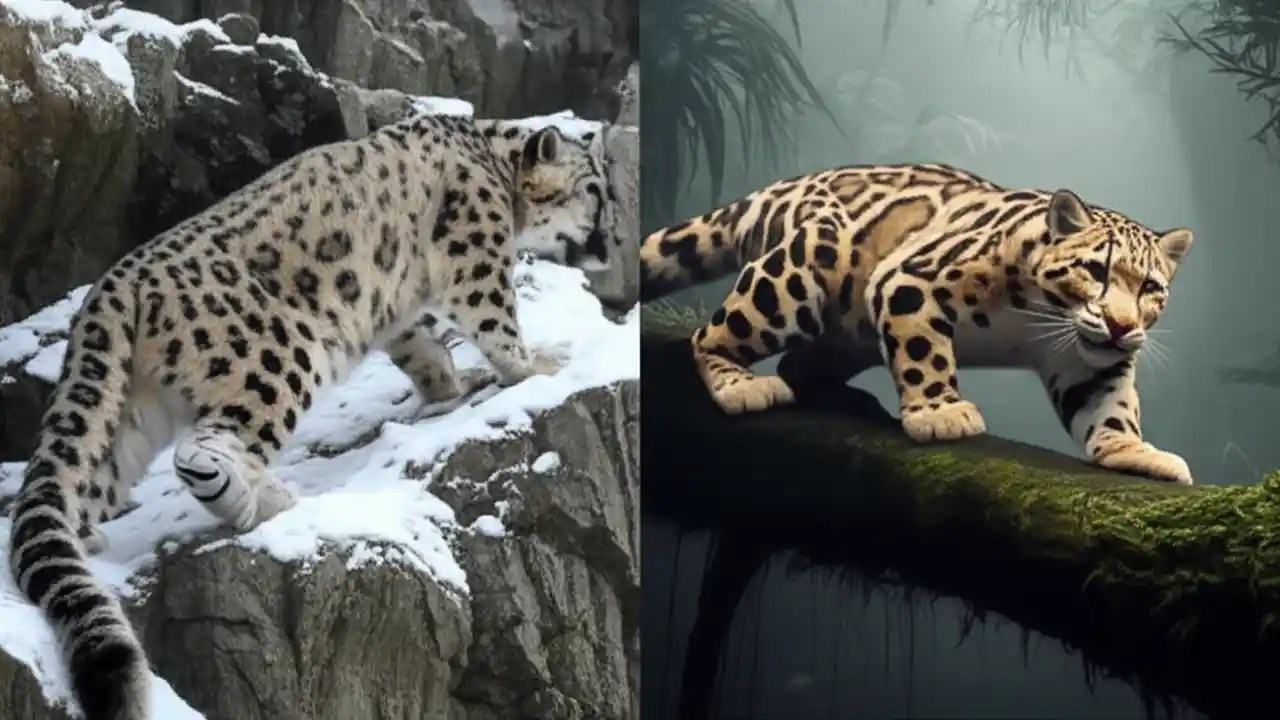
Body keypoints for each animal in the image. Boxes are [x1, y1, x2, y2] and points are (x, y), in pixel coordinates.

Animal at [7, 111, 617, 720]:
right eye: (594, 191)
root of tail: (110, 292)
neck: (492, 161)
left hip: (128, 416)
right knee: (207, 447)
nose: (610, 247)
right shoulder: (474, 247)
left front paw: (451, 382)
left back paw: (87, 537)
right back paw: (266, 501)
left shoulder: (402, 314)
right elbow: (495, 317)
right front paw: (536, 363)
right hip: (277, 358)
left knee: (84, 480)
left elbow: (421, 344)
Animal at [640, 162, 1194, 486]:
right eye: (1096, 271)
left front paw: (1132, 450)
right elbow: (924, 353)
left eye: (1150, 289)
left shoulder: (1092, 363)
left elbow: (1111, 409)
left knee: (801, 361)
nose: (1121, 326)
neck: (1042, 318)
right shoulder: (911, 280)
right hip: (803, 271)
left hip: (847, 331)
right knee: (711, 335)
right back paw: (739, 383)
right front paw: (939, 413)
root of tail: (772, 190)